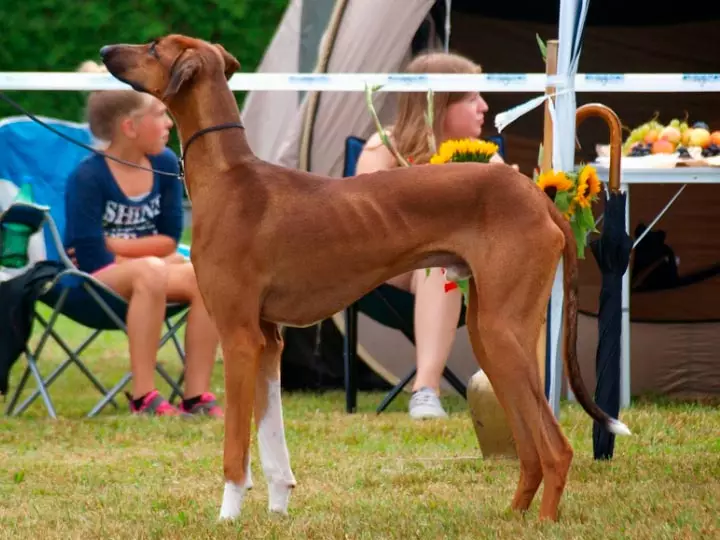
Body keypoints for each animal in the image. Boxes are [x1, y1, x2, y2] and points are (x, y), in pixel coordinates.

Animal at [100, 34, 632, 524]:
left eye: (153, 47)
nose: (105, 50)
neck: (229, 176)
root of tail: (538, 195)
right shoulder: (268, 341)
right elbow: (272, 443)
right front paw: (278, 509)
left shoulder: (238, 338)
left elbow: (235, 451)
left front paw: (227, 518)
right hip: (491, 336)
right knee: (530, 449)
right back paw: (514, 514)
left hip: (504, 333)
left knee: (556, 447)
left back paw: (543, 521)